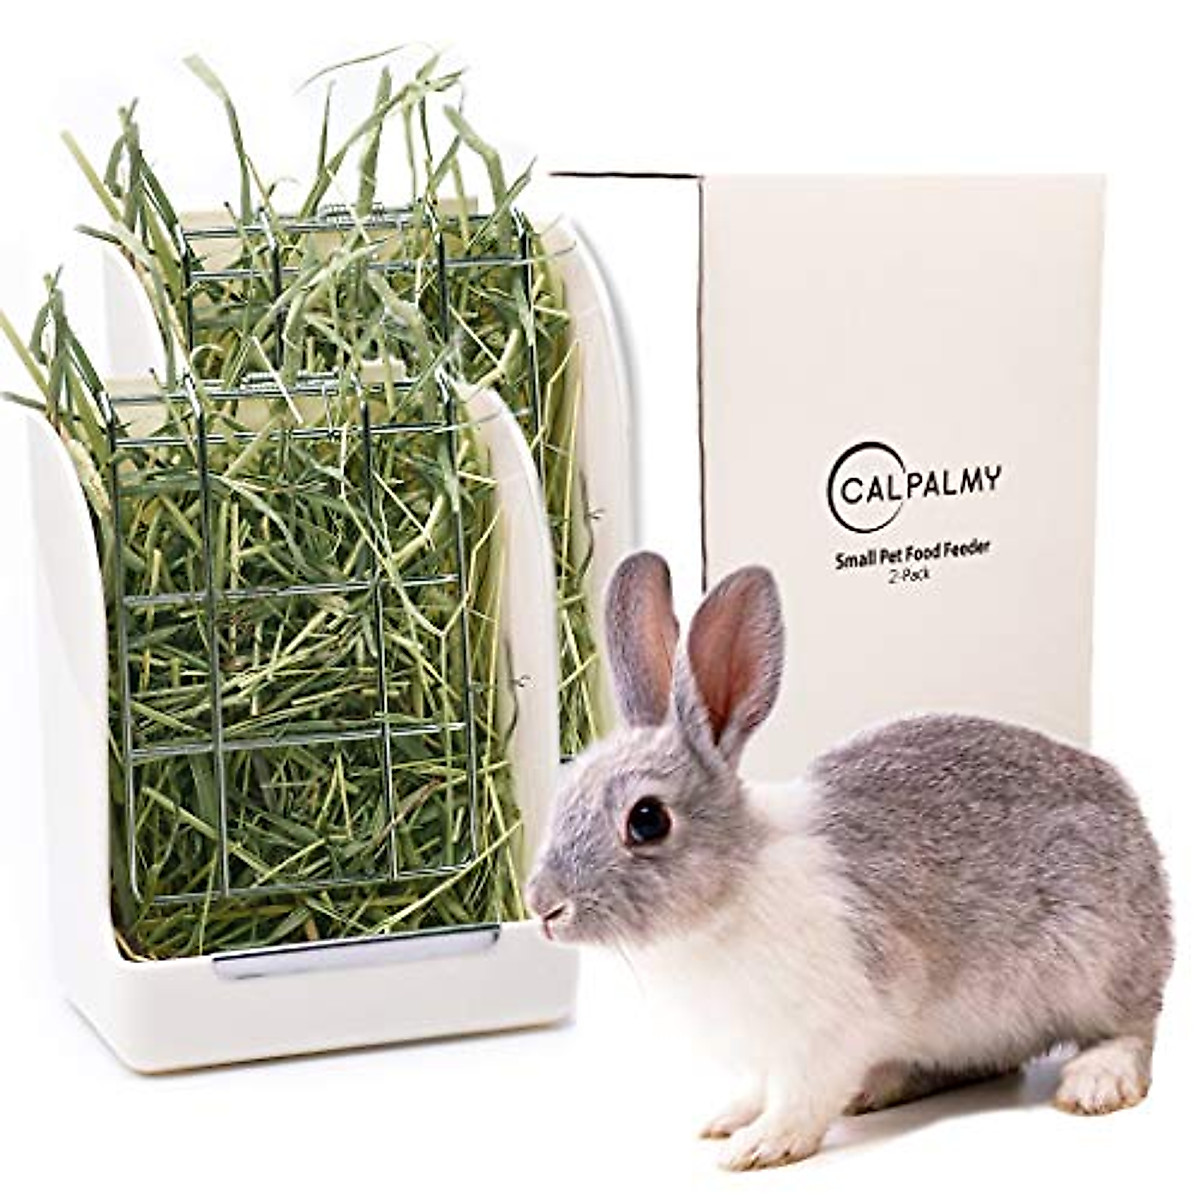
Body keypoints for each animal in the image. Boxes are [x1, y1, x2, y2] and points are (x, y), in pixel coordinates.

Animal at [525, 551, 1173, 1171]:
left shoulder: (827, 1031)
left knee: (1134, 1030)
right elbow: (758, 1088)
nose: (542, 907)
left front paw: (759, 1147)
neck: (731, 890)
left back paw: (1096, 1083)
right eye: (565, 793)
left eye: (647, 820)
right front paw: (728, 1119)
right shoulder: (764, 1050)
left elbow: (801, 1098)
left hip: (1096, 964)